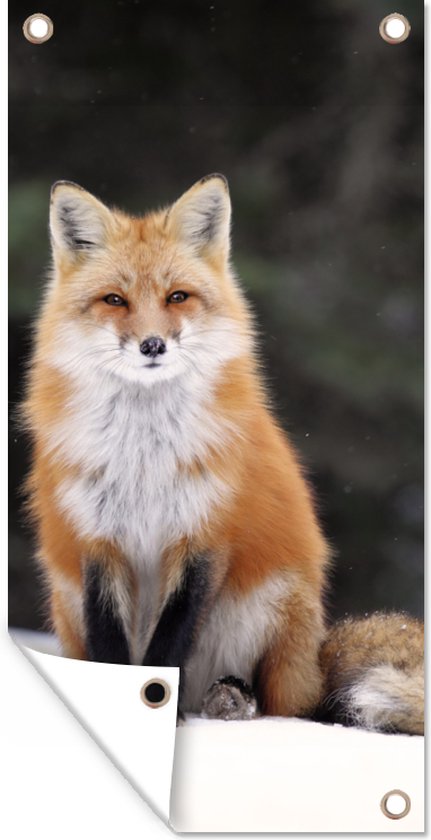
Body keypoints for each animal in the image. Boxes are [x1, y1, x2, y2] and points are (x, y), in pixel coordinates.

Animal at [21, 174, 423, 733]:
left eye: (177, 297)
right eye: (114, 300)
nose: (152, 345)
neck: (144, 459)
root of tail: (313, 663)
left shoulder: (203, 537)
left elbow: (171, 641)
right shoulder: (97, 541)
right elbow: (110, 647)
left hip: (270, 603)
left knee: (287, 705)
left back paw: (232, 698)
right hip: (66, 599)